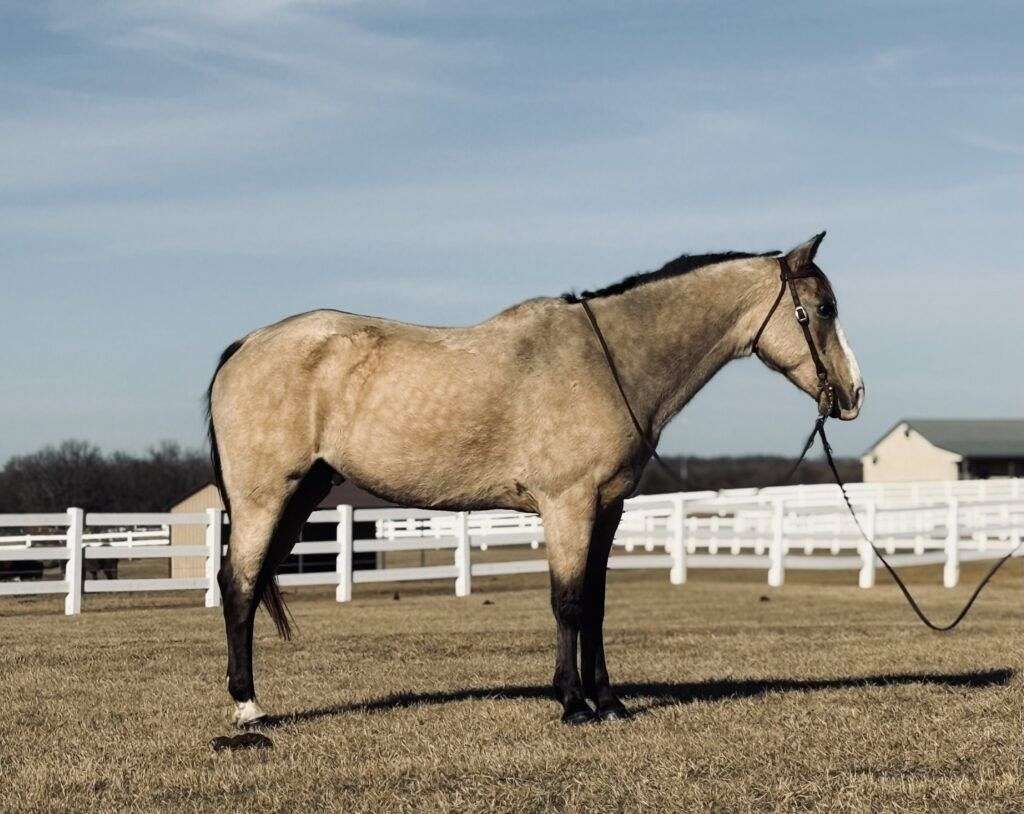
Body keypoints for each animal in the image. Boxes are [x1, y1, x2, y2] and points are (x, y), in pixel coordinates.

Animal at [207, 232, 864, 727]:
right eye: (824, 309)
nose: (854, 394)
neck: (608, 360)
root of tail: (245, 345)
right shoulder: (568, 505)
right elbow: (567, 602)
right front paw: (573, 704)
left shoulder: (607, 508)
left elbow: (595, 605)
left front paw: (609, 701)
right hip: (265, 498)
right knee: (238, 586)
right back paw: (248, 709)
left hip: (302, 495)